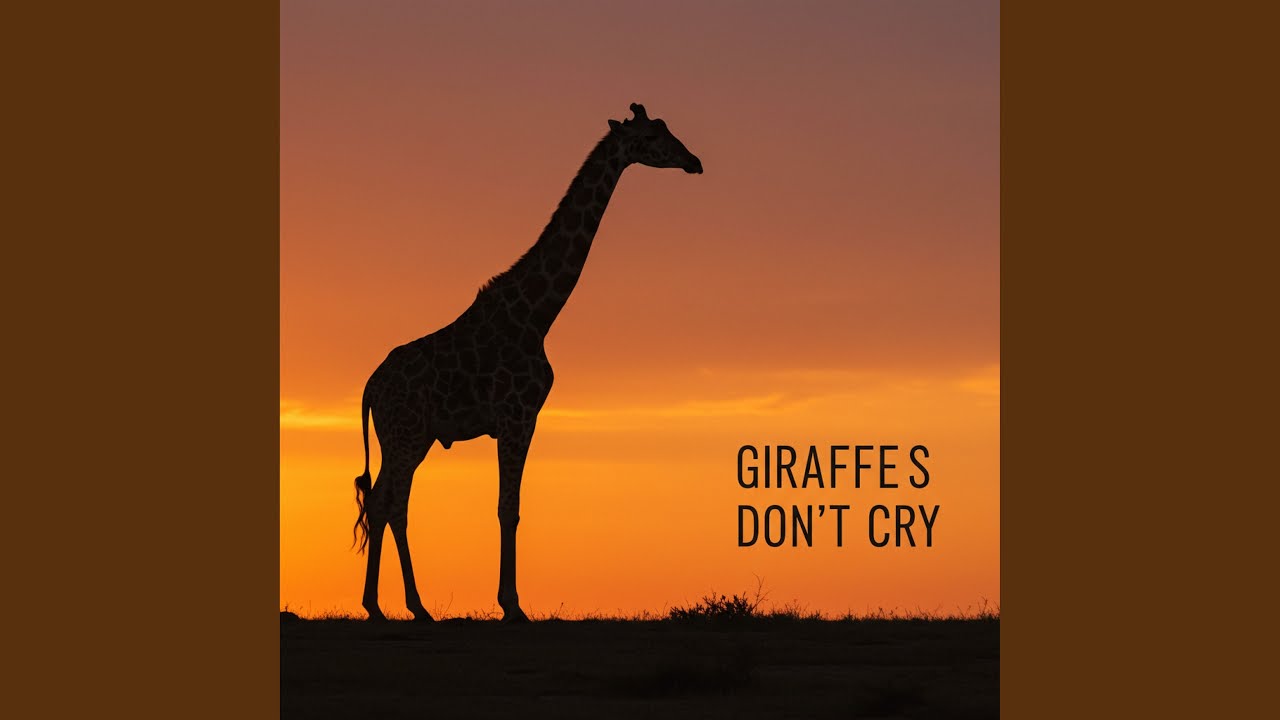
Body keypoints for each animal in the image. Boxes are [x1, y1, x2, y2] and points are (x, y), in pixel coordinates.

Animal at [352, 103, 703, 622]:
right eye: (654, 136)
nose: (694, 162)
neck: (538, 315)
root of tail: (370, 387)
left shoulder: (519, 419)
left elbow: (509, 507)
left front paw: (509, 601)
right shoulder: (517, 415)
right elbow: (508, 508)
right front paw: (512, 606)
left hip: (412, 437)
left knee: (388, 502)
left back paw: (398, 606)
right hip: (405, 433)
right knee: (386, 503)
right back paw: (395, 607)